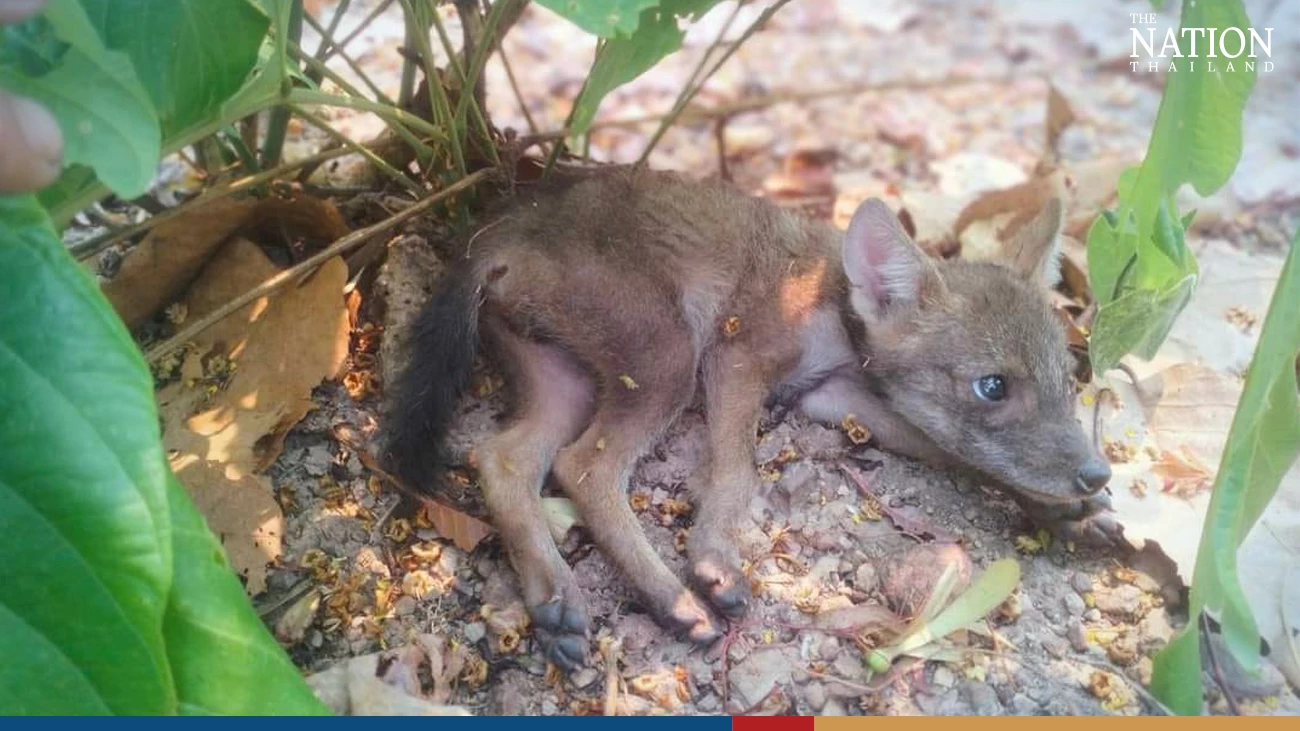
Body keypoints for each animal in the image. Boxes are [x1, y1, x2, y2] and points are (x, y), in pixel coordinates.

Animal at [384, 166, 1116, 669]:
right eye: (993, 386)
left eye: (1070, 380)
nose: (1096, 472)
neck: (832, 298)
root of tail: (498, 230)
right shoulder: (737, 363)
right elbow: (738, 473)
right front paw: (713, 559)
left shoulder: (839, 399)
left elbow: (958, 453)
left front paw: (1066, 513)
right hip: (667, 360)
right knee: (584, 467)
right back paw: (675, 601)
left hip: (565, 382)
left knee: (503, 459)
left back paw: (555, 597)